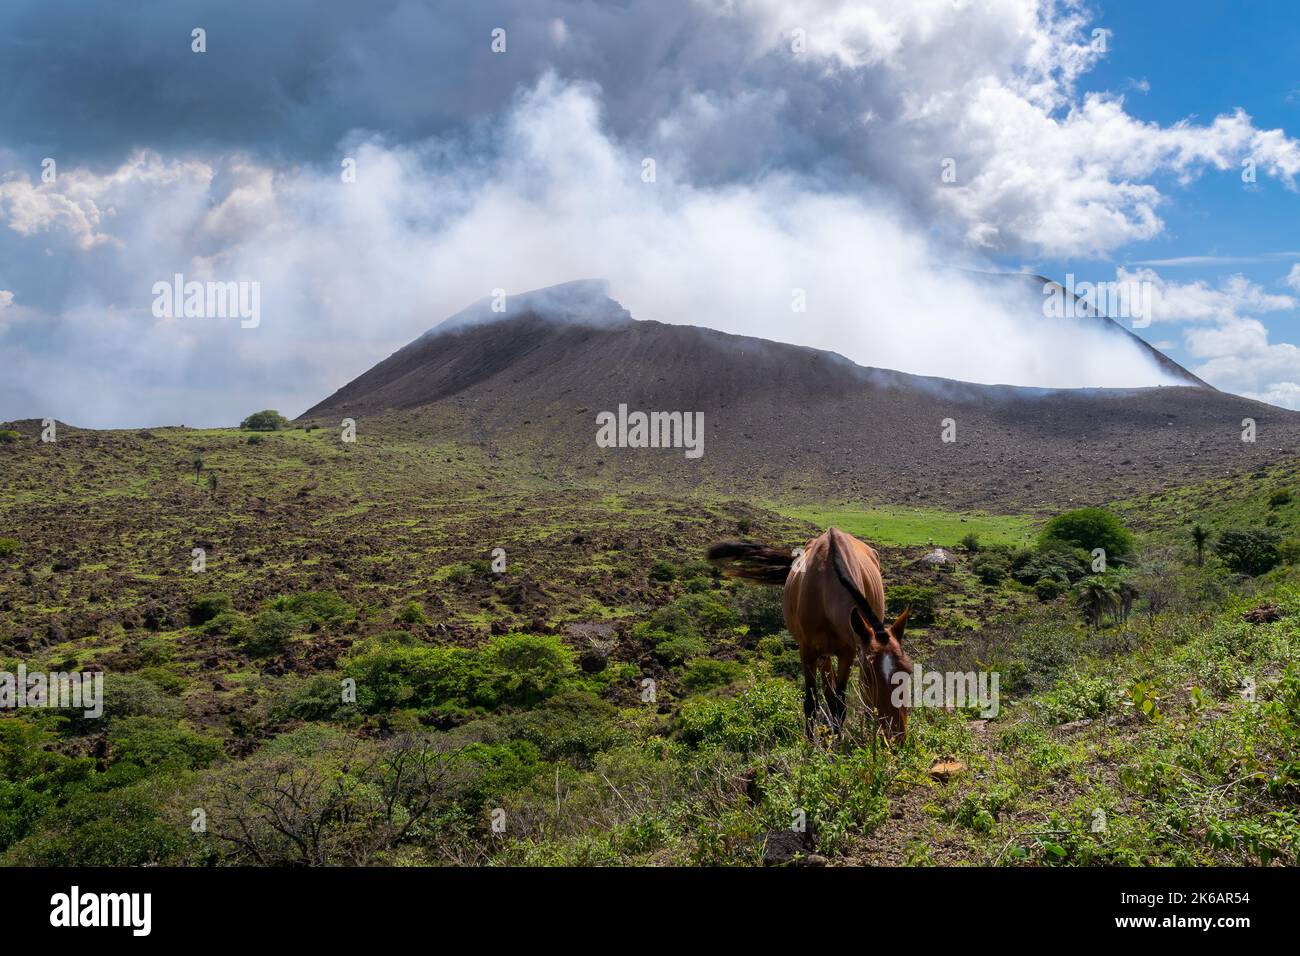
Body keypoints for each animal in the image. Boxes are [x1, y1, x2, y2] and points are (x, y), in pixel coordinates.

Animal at [707, 527, 912, 742]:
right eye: (871, 677)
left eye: (908, 671)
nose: (898, 735)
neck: (825, 588)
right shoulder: (807, 651)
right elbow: (811, 703)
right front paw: (812, 743)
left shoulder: (849, 651)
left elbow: (840, 702)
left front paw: (837, 741)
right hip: (823, 654)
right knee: (827, 693)